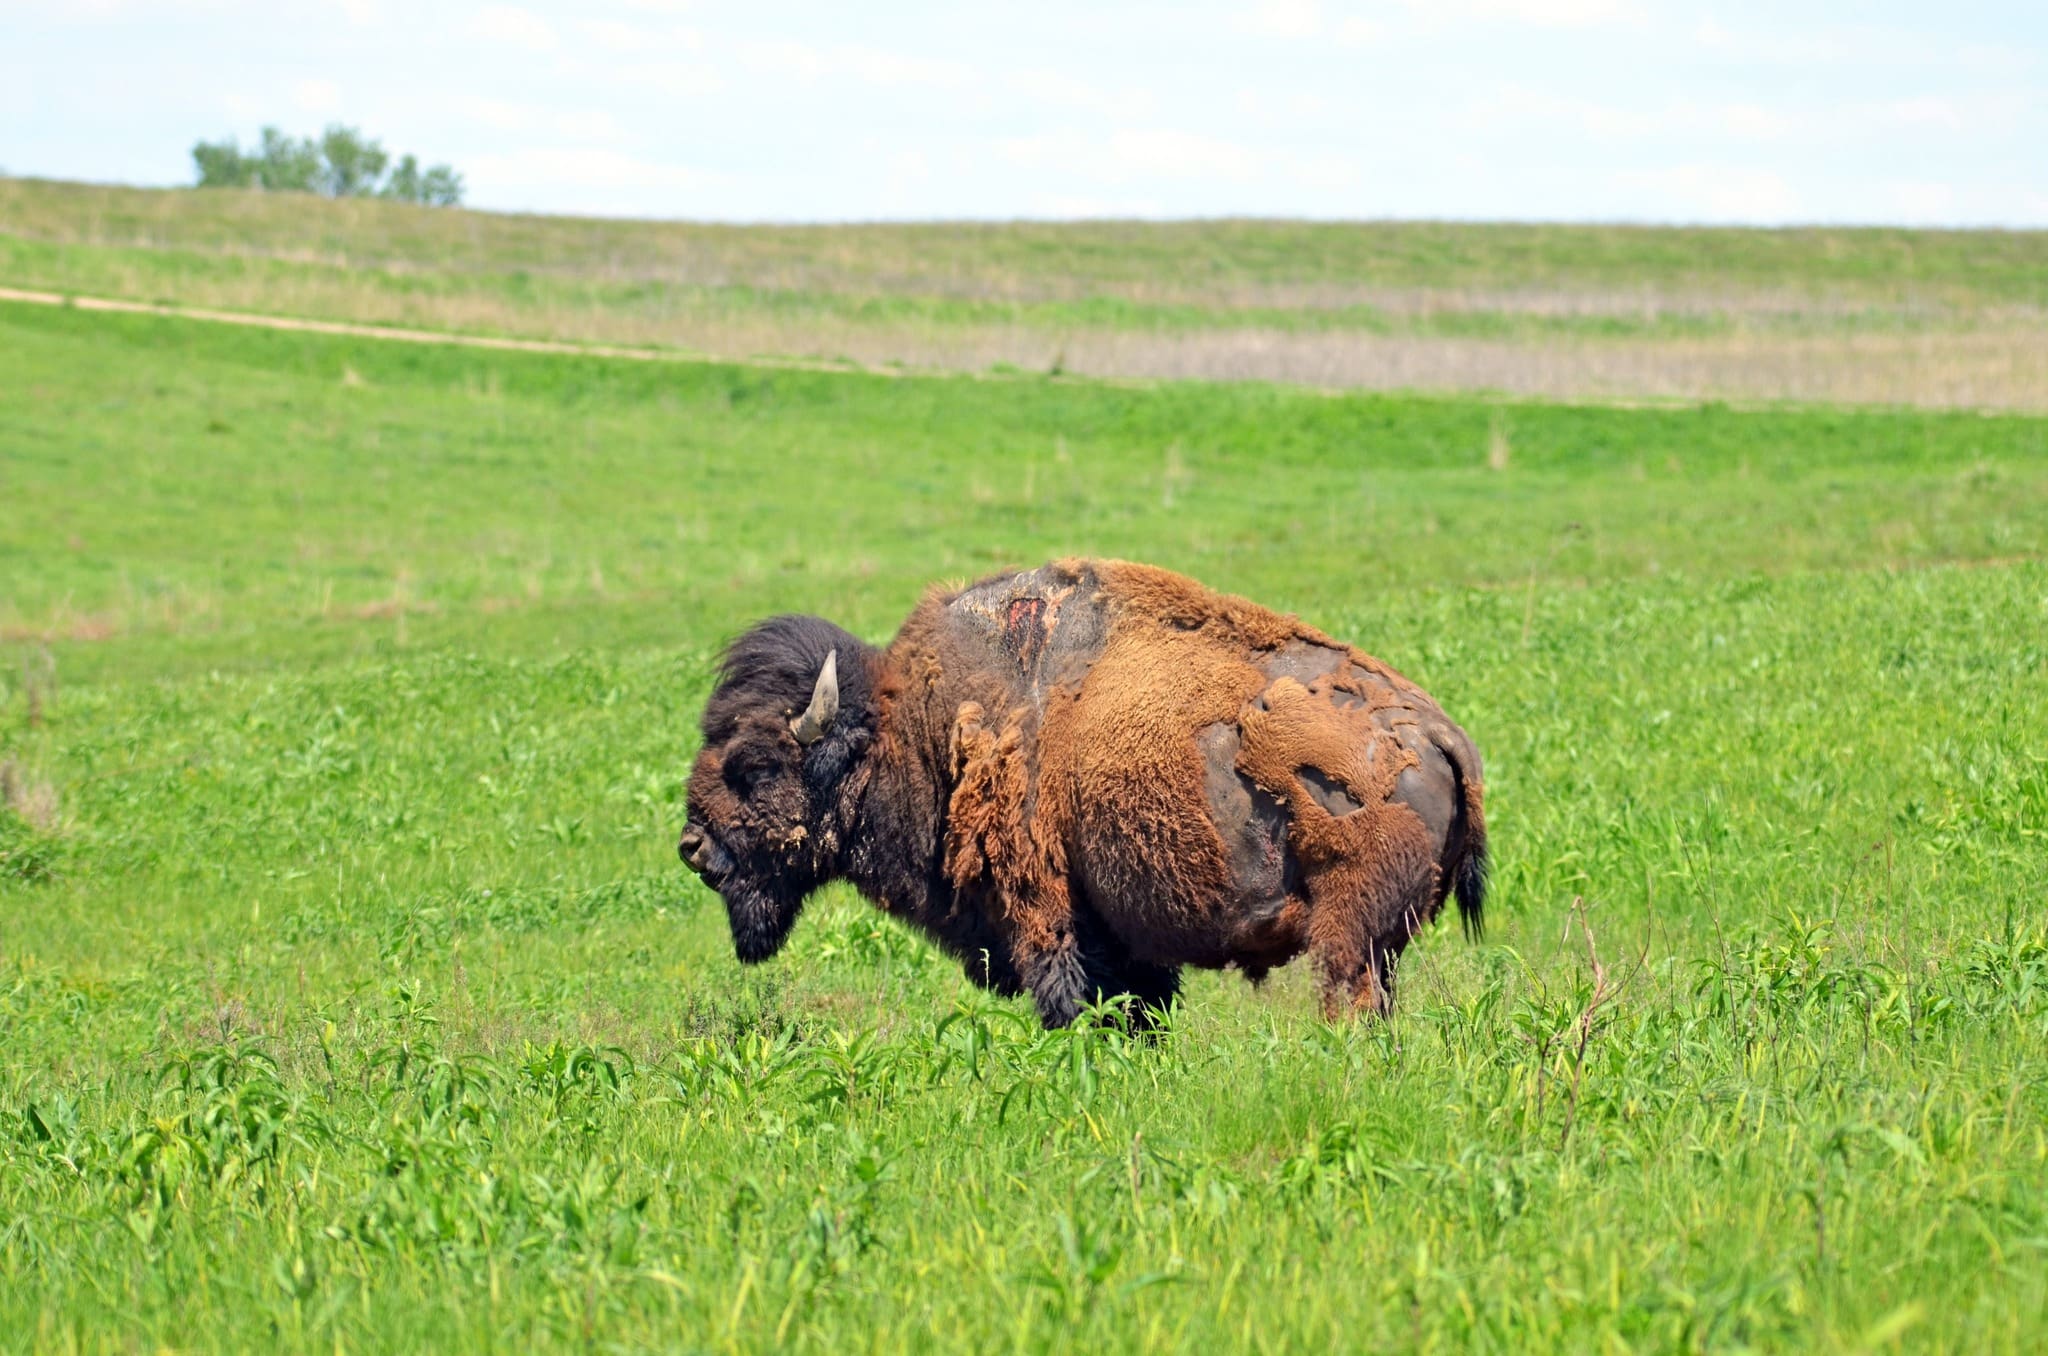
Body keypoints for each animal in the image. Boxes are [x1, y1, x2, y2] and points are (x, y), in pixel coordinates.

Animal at [679, 559, 1487, 1026]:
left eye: (756, 767)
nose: (693, 847)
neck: (913, 725)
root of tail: (1444, 736)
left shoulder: (1044, 910)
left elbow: (1068, 998)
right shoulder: (1124, 938)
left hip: (1351, 935)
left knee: (1350, 999)